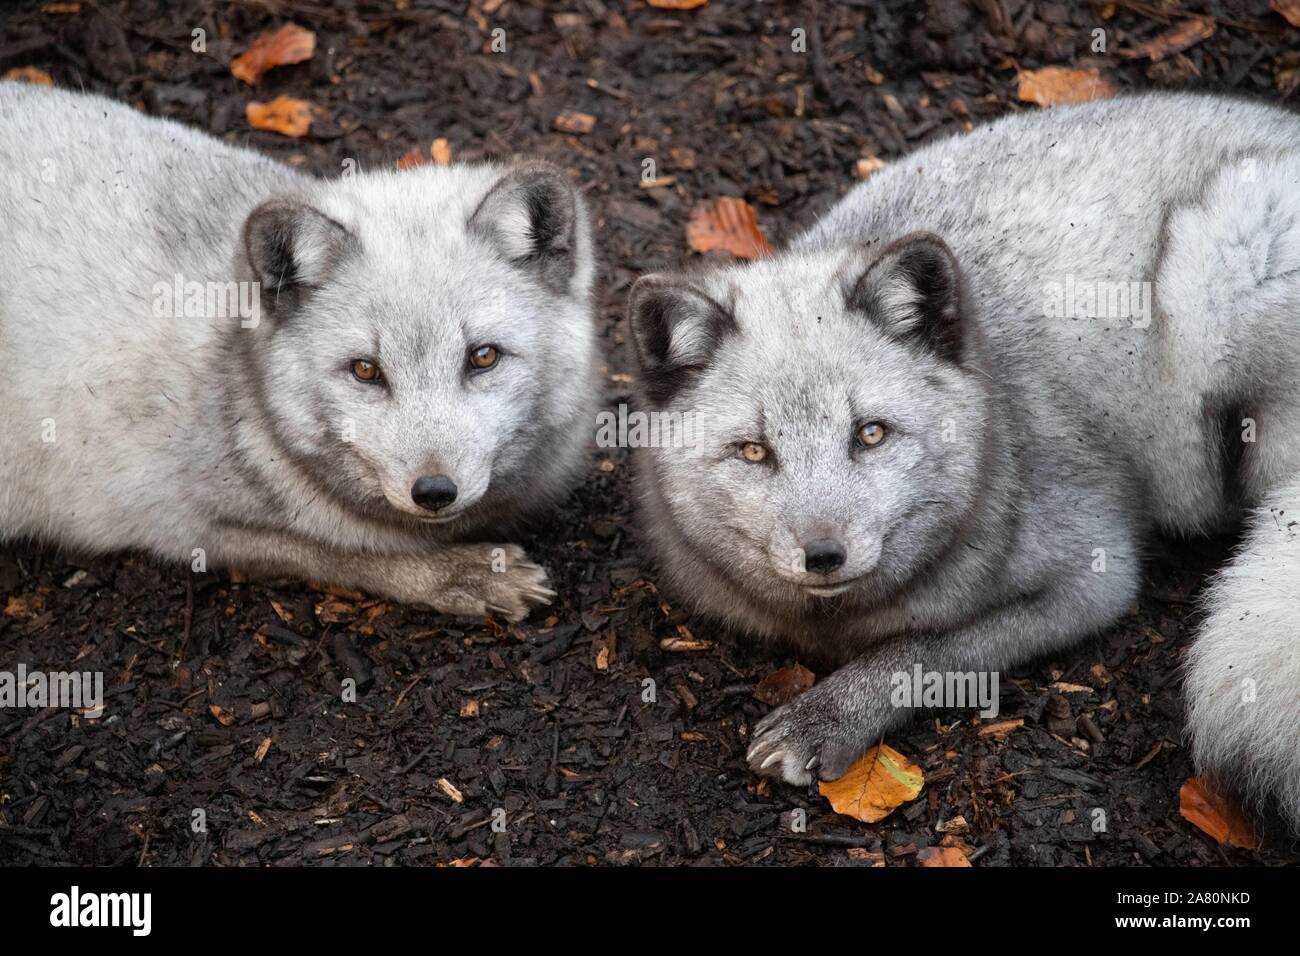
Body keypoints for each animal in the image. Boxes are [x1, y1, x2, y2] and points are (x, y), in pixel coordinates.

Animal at [0, 83, 599, 622]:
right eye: (365, 370)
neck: (236, 382)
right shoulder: (183, 523)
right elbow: (340, 552)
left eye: (483, 357)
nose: (434, 491)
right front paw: (463, 574)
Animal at [627, 92, 1300, 831]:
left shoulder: (1093, 574)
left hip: (1220, 261)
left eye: (869, 434)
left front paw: (826, 718)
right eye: (754, 450)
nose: (823, 555)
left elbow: (927, 649)